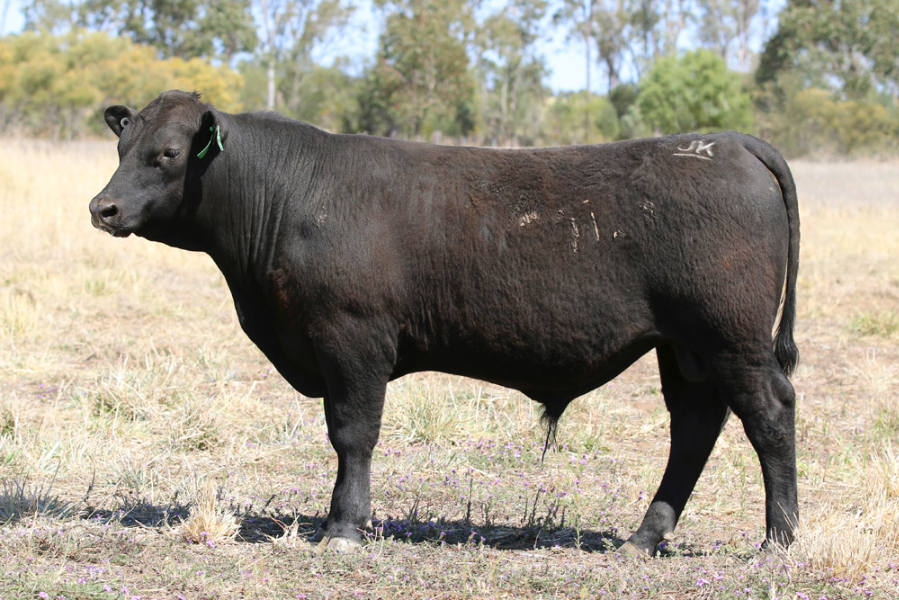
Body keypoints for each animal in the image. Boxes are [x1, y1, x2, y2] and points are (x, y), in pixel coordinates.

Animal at [89, 90, 800, 556]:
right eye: (122, 145)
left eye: (168, 153)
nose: (103, 207)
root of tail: (731, 142)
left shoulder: (352, 338)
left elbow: (352, 434)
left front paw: (343, 527)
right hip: (685, 350)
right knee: (694, 430)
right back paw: (644, 539)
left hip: (732, 340)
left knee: (769, 416)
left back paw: (779, 540)